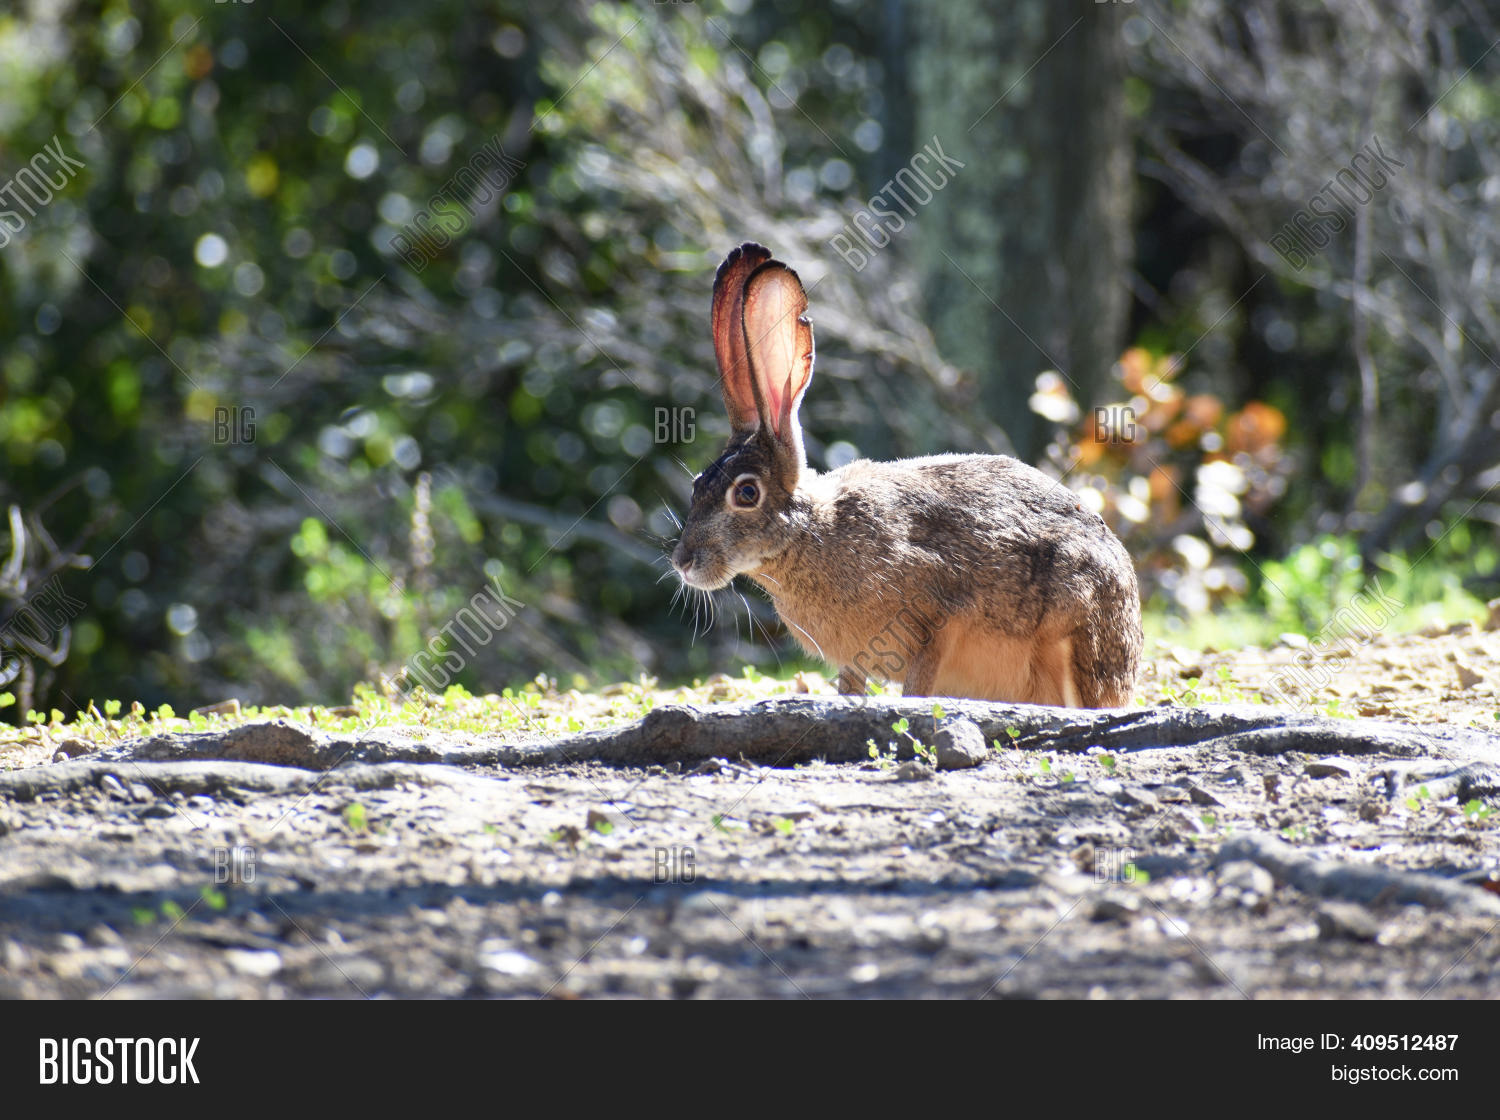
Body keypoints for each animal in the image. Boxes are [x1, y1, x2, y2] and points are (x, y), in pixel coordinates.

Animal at [670, 243, 1142, 708]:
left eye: (747, 493)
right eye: (697, 485)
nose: (683, 563)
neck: (812, 531)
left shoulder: (938, 615)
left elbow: (919, 683)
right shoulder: (854, 657)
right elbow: (851, 688)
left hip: (1078, 629)